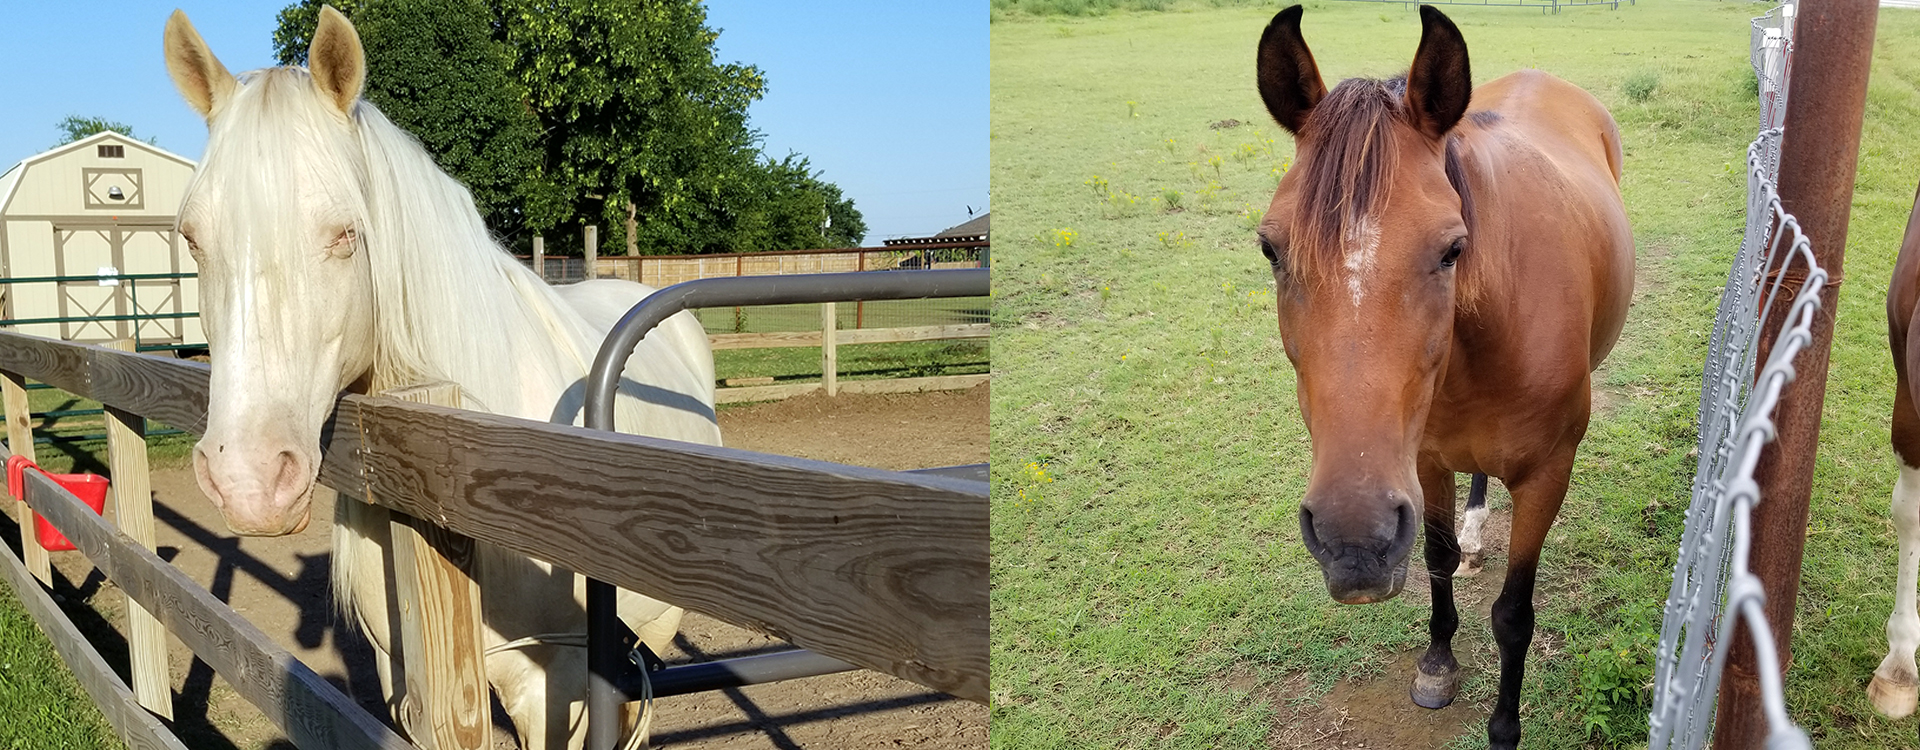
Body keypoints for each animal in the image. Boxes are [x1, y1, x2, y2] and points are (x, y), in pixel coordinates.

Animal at [163, 8, 721, 748]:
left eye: (346, 234)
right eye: (193, 238)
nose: (247, 482)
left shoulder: (552, 689)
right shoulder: (410, 688)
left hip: (652, 626)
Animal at [1252, 6, 1633, 748]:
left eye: (1454, 248)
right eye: (1270, 249)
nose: (1355, 542)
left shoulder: (1549, 475)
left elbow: (1514, 615)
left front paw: (1505, 726)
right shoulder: (1423, 462)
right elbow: (1434, 557)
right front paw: (1436, 663)